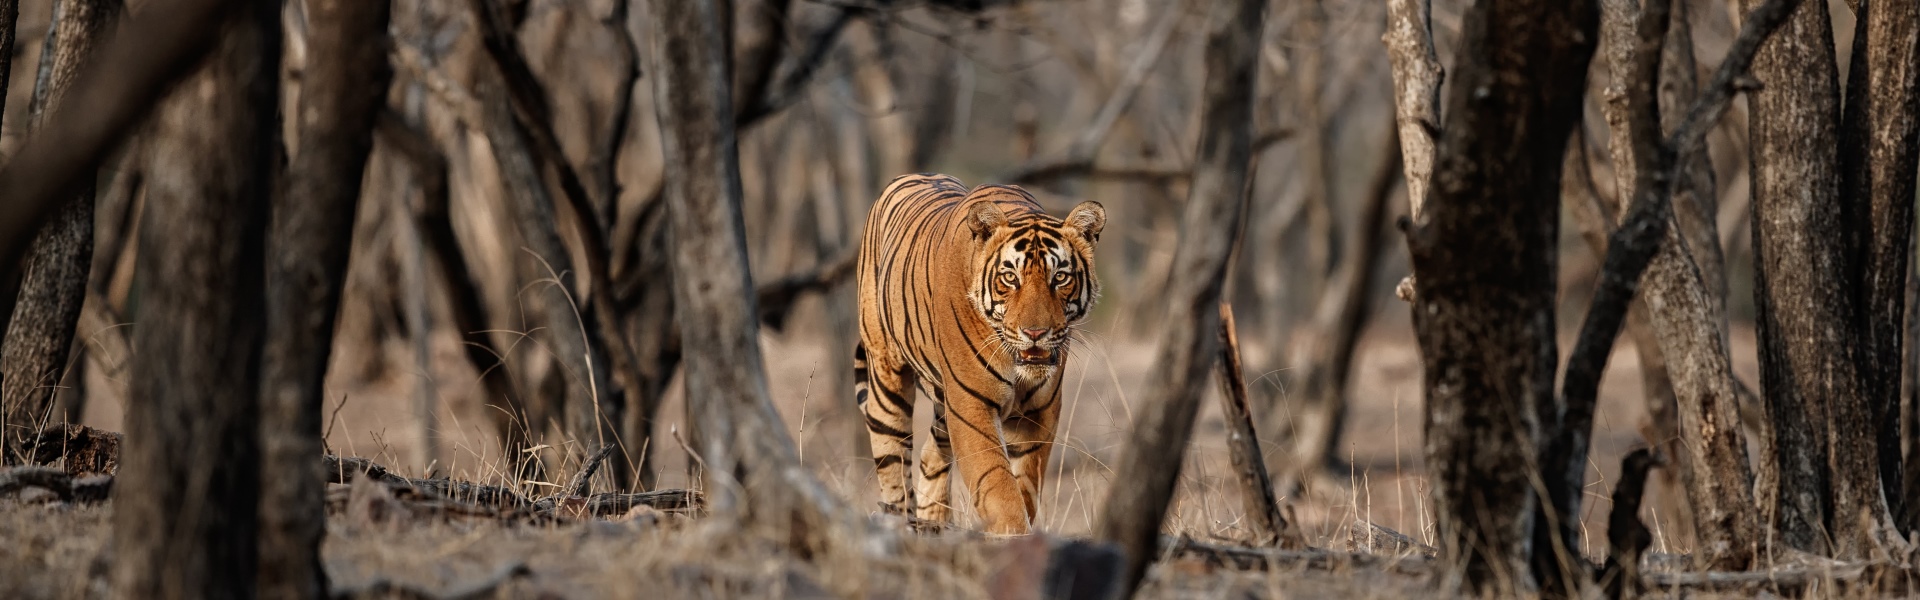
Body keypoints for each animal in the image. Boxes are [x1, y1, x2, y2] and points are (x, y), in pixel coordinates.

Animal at [854, 173, 1105, 536]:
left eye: (1059, 277)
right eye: (1010, 278)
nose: (1035, 333)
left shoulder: (1039, 413)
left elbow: (1026, 486)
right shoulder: (972, 407)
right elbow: (998, 486)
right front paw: (1011, 535)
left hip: (943, 402)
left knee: (931, 456)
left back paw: (935, 526)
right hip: (887, 379)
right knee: (894, 470)